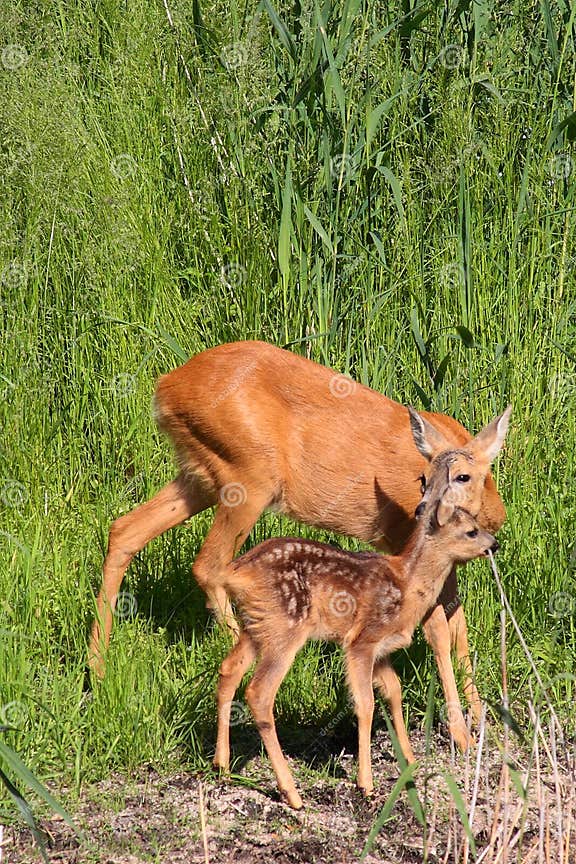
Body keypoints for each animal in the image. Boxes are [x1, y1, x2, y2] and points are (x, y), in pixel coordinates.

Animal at [88, 340, 511, 751]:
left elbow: (458, 626)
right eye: (422, 478)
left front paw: (481, 716)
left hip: (201, 475)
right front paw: (462, 734)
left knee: (125, 529)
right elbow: (438, 629)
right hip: (249, 473)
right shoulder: (405, 545)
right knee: (208, 565)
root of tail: (166, 387)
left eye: (462, 476)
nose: (424, 510)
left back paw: (97, 666)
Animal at [213, 439, 500, 809]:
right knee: (260, 692)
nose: (495, 544)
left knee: (229, 669)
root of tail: (237, 574)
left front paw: (410, 759)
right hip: (284, 629)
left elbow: (394, 692)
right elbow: (365, 705)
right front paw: (366, 782)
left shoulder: (383, 649)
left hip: (254, 626)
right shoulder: (362, 641)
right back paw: (291, 793)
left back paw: (221, 763)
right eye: (470, 531)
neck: (407, 586)